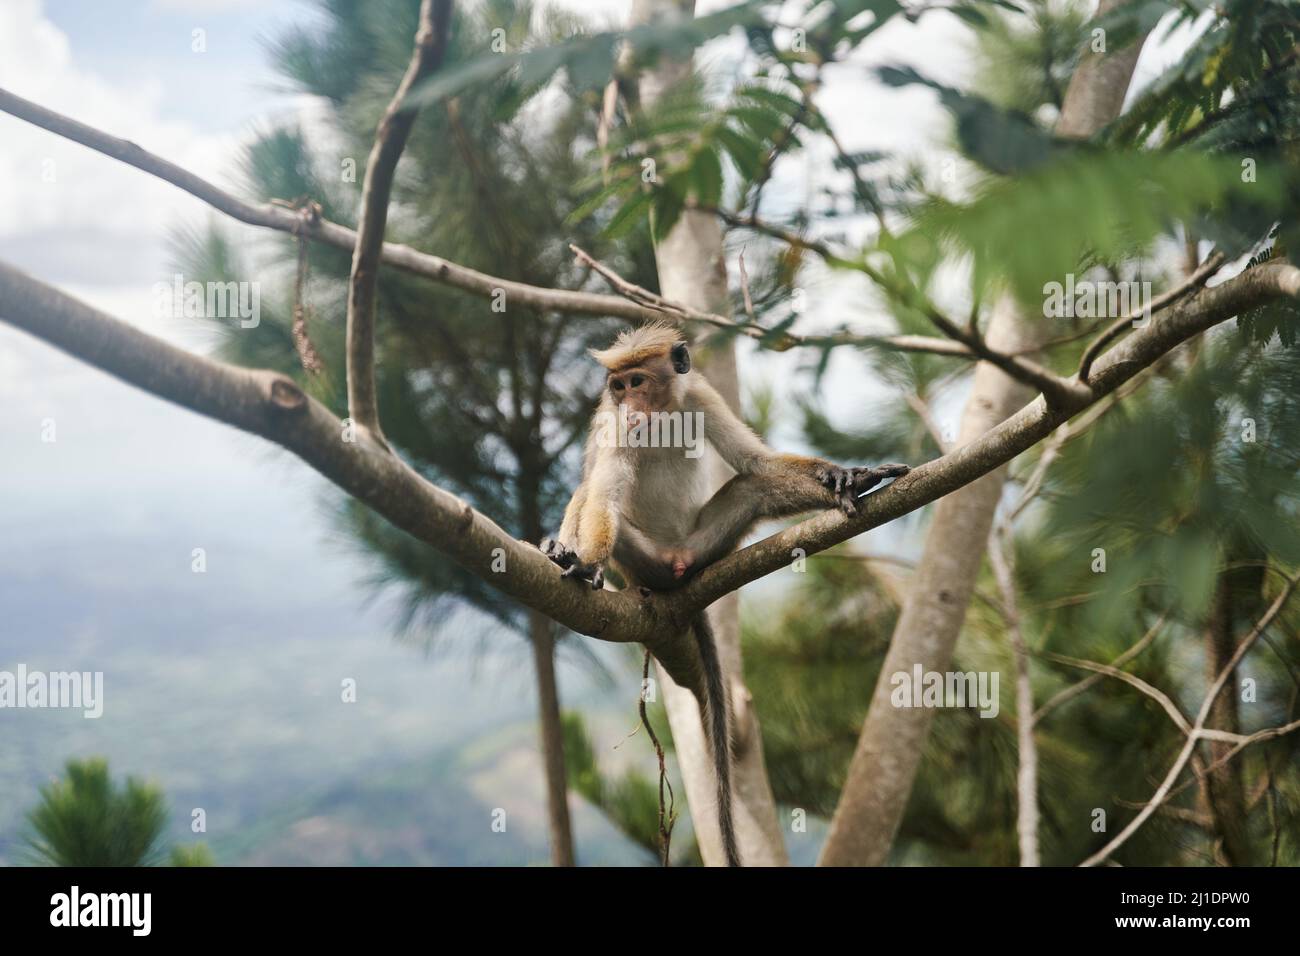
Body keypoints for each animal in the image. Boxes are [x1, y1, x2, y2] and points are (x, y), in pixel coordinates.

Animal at [539, 322, 908, 866]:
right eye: (619, 387)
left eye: (638, 381)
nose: (630, 406)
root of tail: (674, 565)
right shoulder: (611, 425)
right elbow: (598, 491)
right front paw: (581, 561)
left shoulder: (699, 394)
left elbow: (757, 461)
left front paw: (849, 474)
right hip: (641, 559)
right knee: (594, 495)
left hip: (704, 544)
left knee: (755, 485)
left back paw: (846, 487)